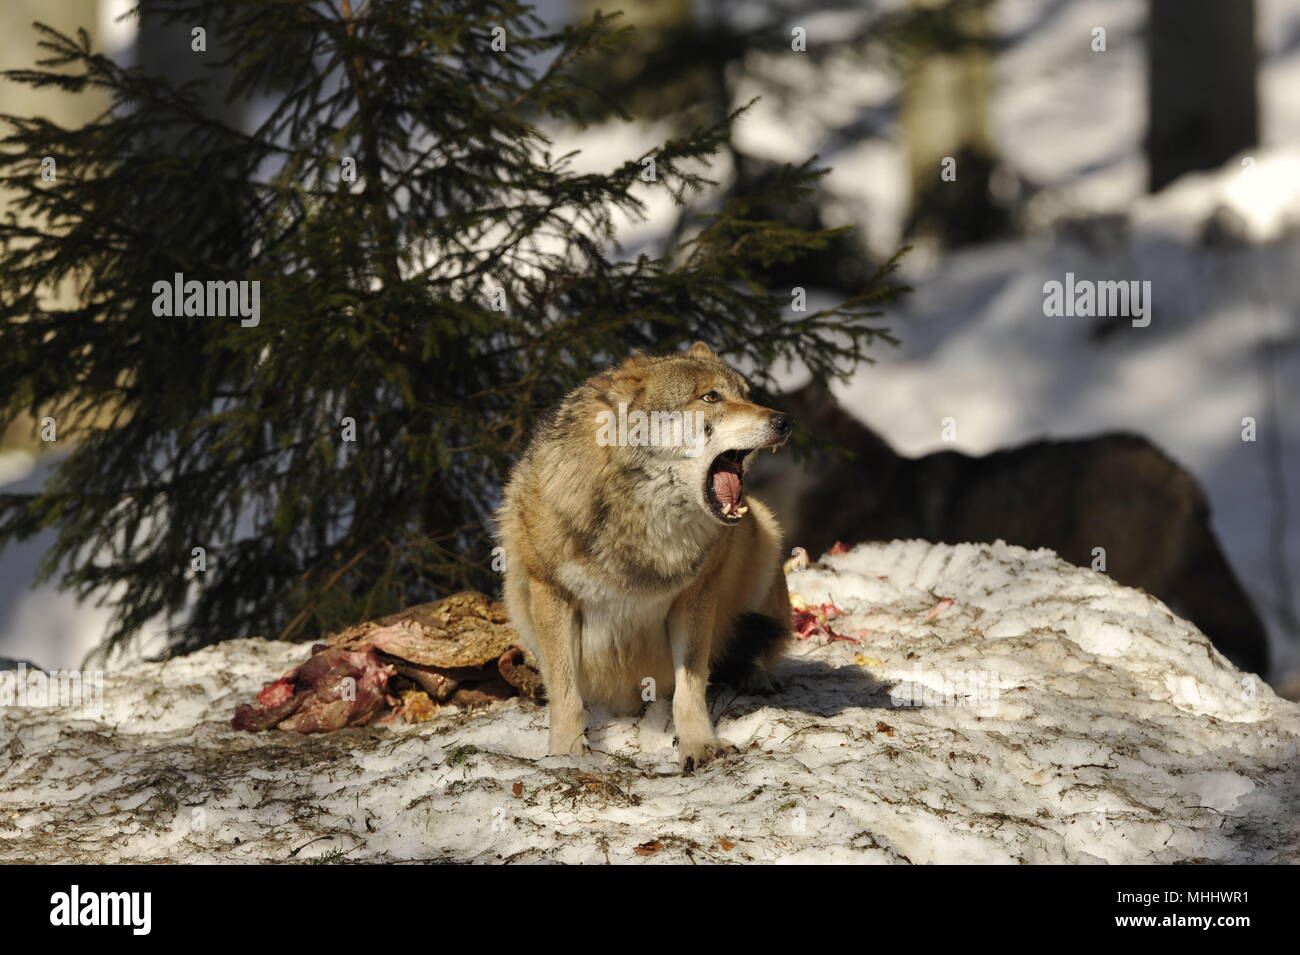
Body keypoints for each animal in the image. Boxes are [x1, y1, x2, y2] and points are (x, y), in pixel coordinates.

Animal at [497, 342, 794, 769]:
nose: (785, 421)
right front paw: (567, 753)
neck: (640, 520)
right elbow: (566, 692)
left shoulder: (696, 595)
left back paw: (756, 676)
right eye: (710, 397)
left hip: (765, 532)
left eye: (747, 394)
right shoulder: (550, 591)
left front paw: (700, 744)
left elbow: (691, 685)